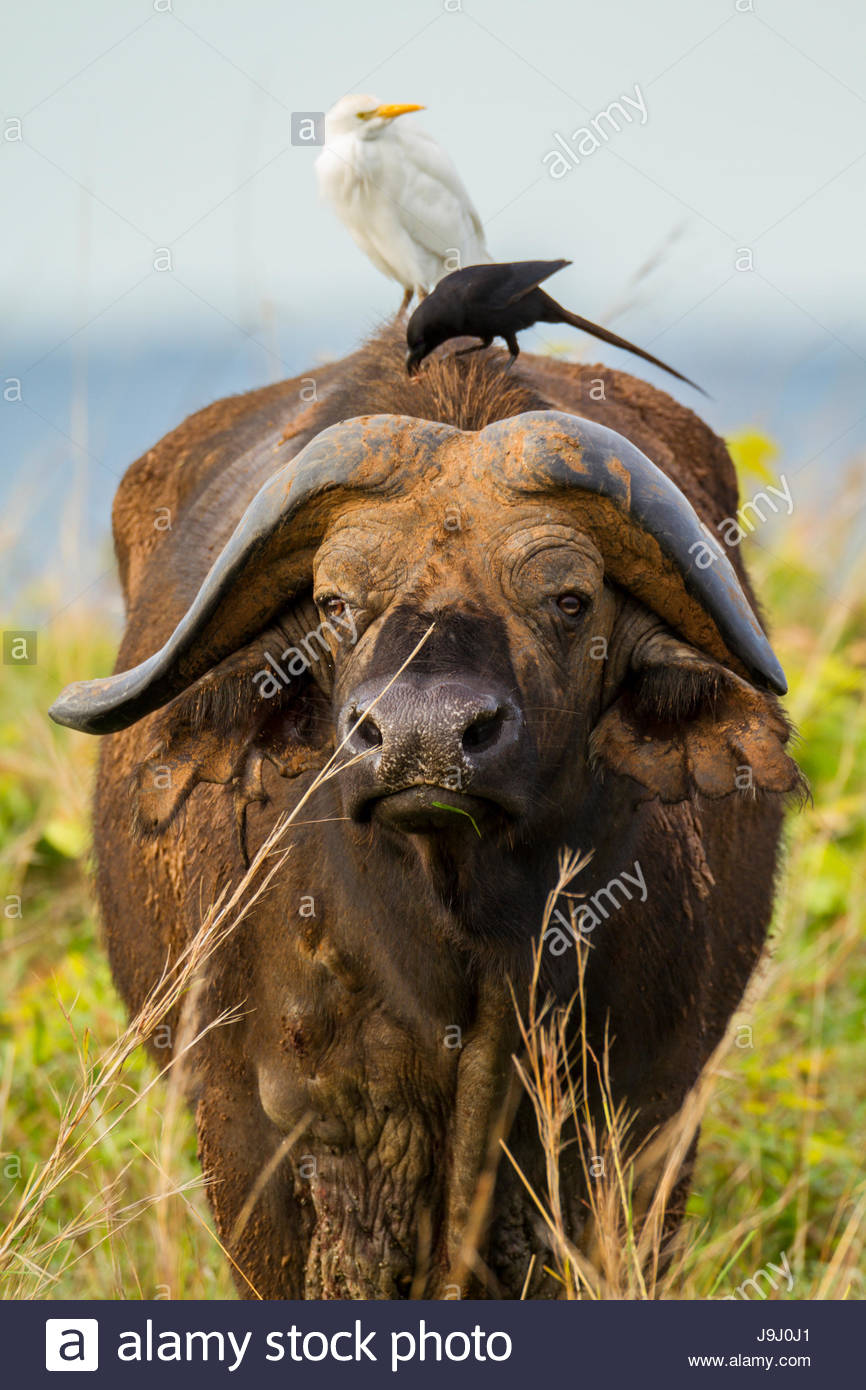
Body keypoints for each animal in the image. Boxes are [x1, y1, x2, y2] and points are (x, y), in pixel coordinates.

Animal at [50, 325, 803, 1298]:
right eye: (335, 604)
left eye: (569, 600)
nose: (424, 736)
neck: (462, 950)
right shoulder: (257, 1140)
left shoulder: (642, 1129)